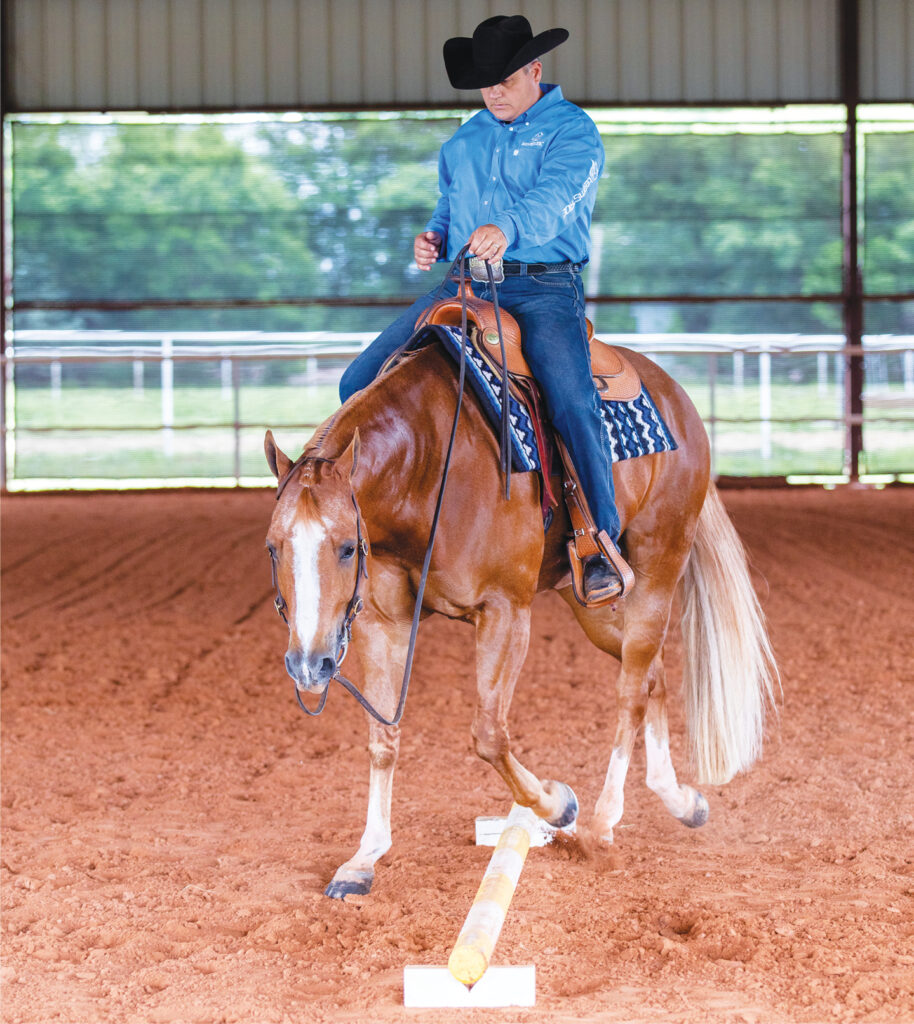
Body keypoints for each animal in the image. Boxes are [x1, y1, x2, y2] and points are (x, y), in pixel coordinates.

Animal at [264, 339, 777, 899]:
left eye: (346, 547)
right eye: (272, 547)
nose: (308, 665)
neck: (428, 469)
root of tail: (675, 396)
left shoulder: (506, 610)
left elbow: (489, 733)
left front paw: (559, 804)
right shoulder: (383, 620)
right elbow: (383, 739)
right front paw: (363, 860)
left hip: (658, 568)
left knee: (630, 691)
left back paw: (601, 822)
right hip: (586, 600)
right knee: (651, 675)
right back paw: (679, 800)